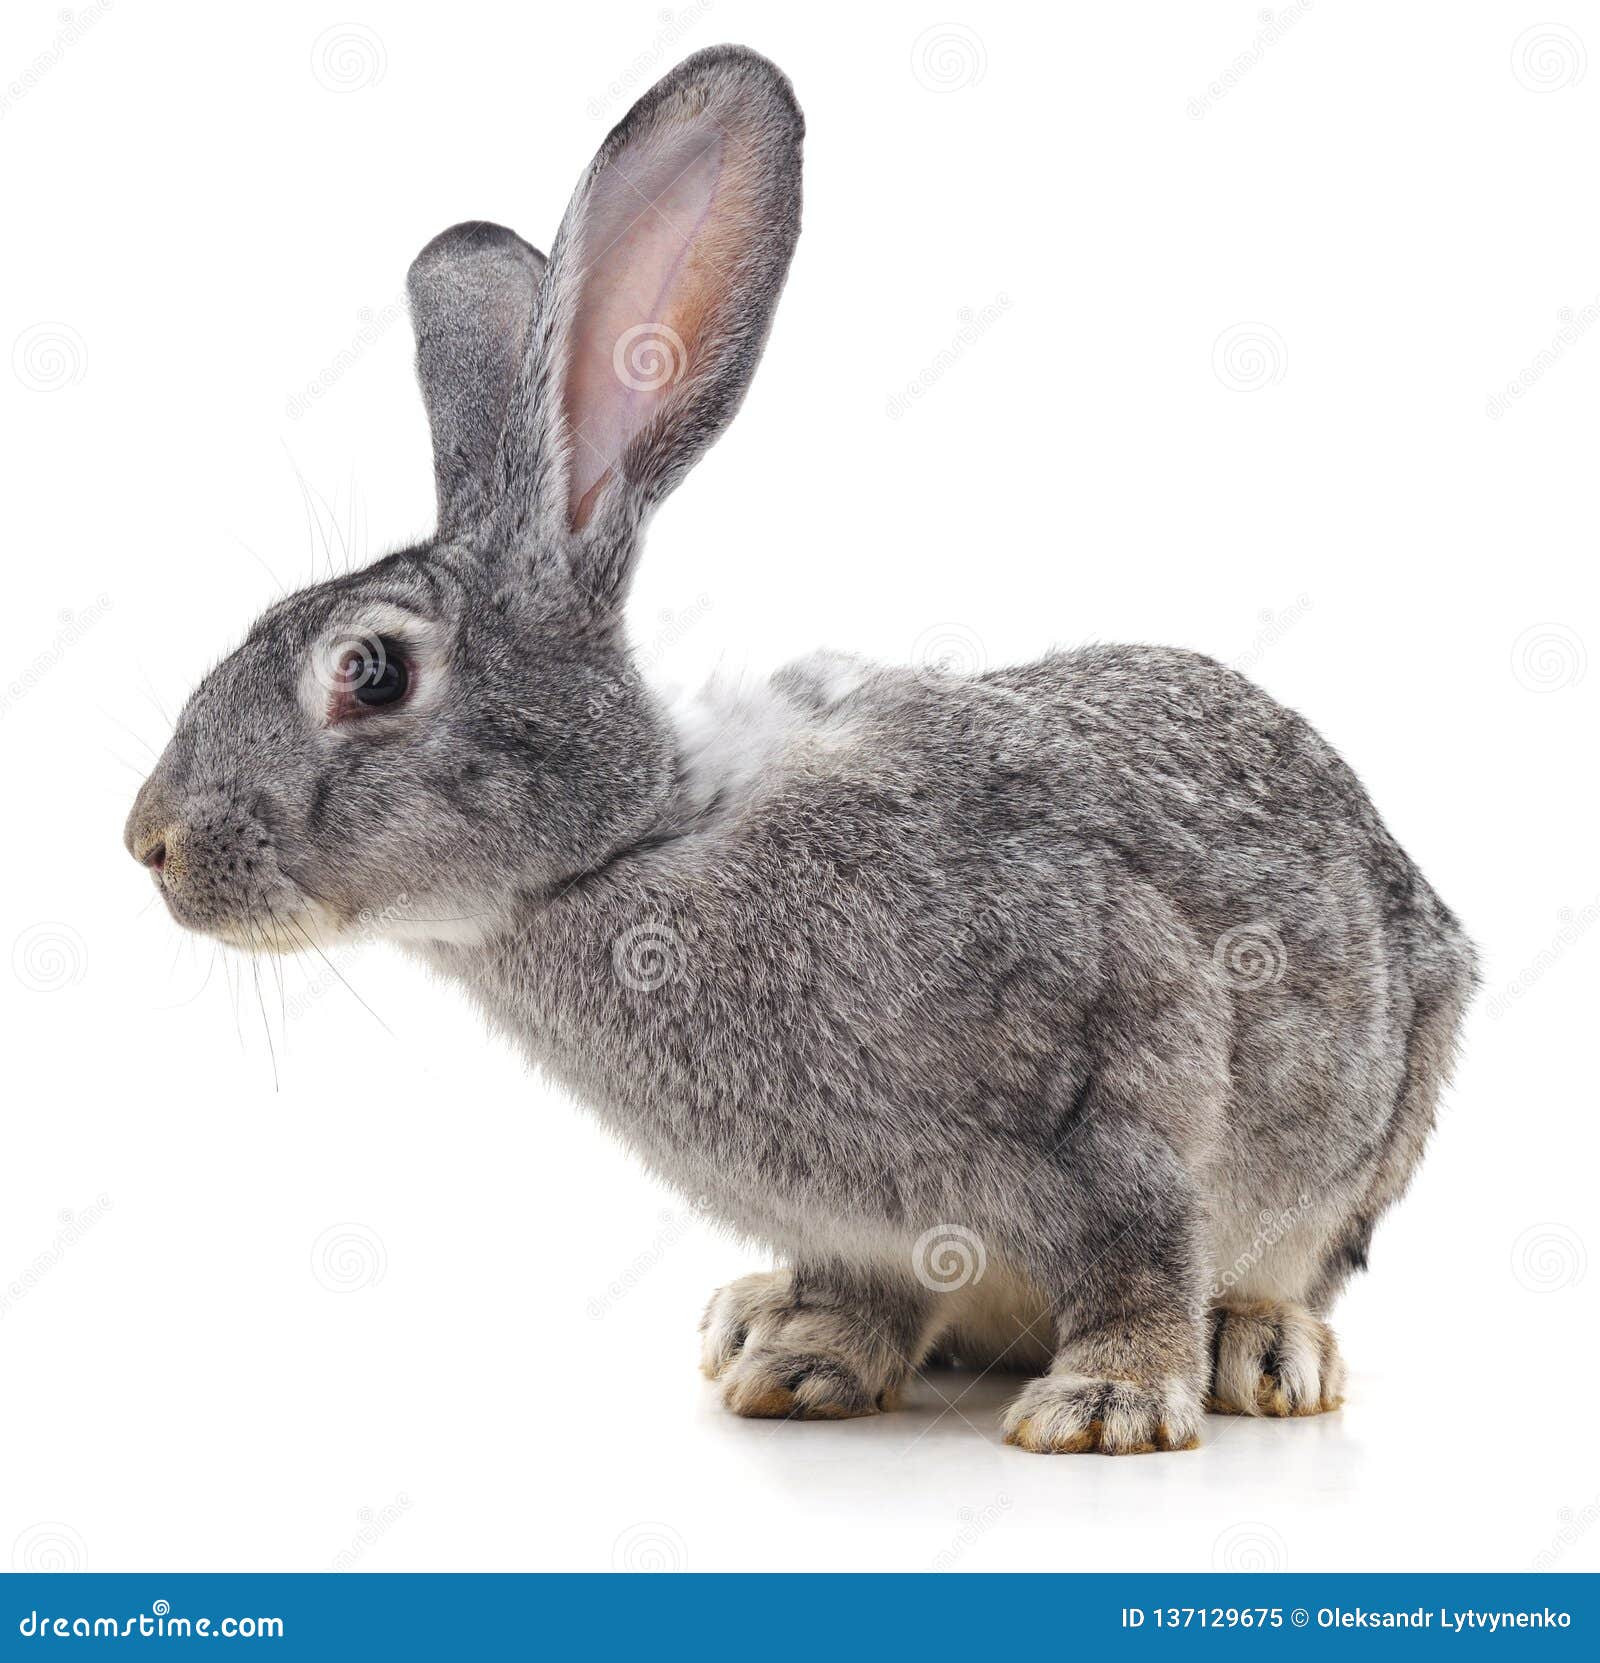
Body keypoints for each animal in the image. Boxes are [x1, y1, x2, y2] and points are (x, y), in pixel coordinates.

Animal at [125, 44, 1478, 1454]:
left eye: (372, 670)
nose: (148, 840)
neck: (632, 843)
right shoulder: (854, 1227)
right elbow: (861, 1290)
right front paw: (804, 1365)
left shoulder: (1128, 1056)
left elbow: (1141, 1247)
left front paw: (1107, 1402)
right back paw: (750, 1317)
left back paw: (1263, 1348)